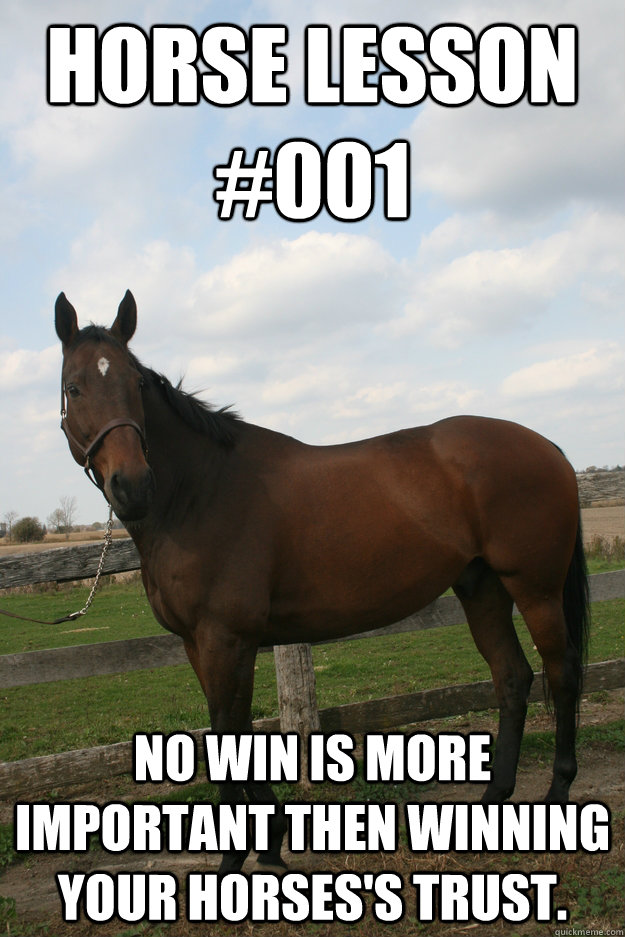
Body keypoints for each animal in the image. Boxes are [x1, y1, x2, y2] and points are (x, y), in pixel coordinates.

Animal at [54, 290, 589, 873]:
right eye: (73, 387)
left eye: (134, 384)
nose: (132, 486)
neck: (200, 492)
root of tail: (548, 446)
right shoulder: (200, 644)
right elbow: (236, 733)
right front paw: (268, 844)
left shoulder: (227, 639)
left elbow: (226, 732)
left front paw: (235, 858)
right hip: (482, 588)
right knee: (512, 678)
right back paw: (494, 800)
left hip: (535, 588)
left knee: (561, 673)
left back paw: (557, 794)